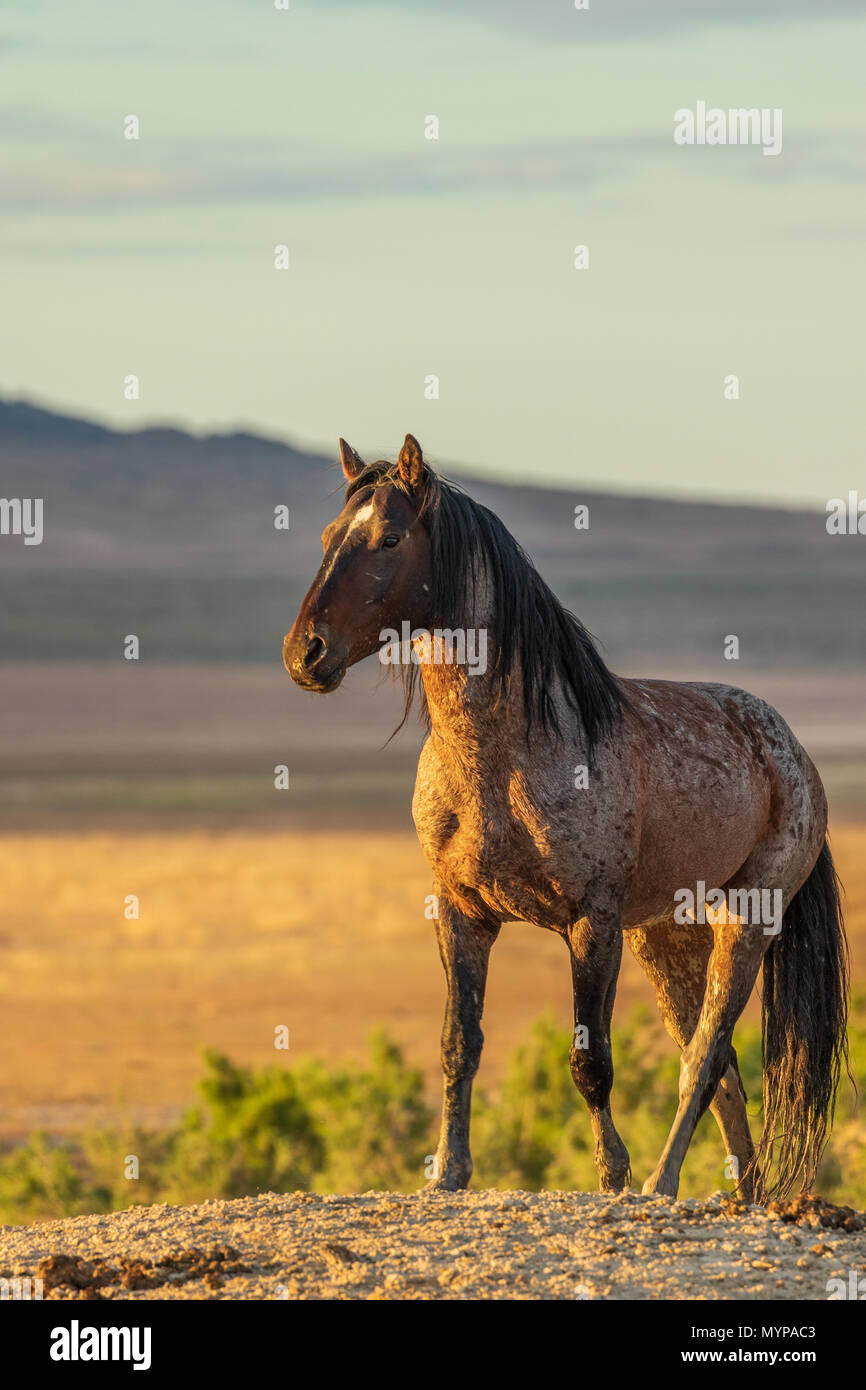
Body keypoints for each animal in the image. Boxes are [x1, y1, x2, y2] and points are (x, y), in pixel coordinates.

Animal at [283, 433, 849, 1201]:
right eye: (326, 536)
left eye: (390, 537)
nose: (304, 654)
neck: (505, 757)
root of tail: (790, 749)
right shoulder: (462, 914)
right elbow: (459, 1044)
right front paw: (449, 1173)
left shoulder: (591, 925)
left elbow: (591, 1062)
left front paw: (612, 1175)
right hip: (667, 938)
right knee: (722, 1064)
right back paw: (743, 1194)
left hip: (744, 922)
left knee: (704, 1056)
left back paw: (660, 1184)